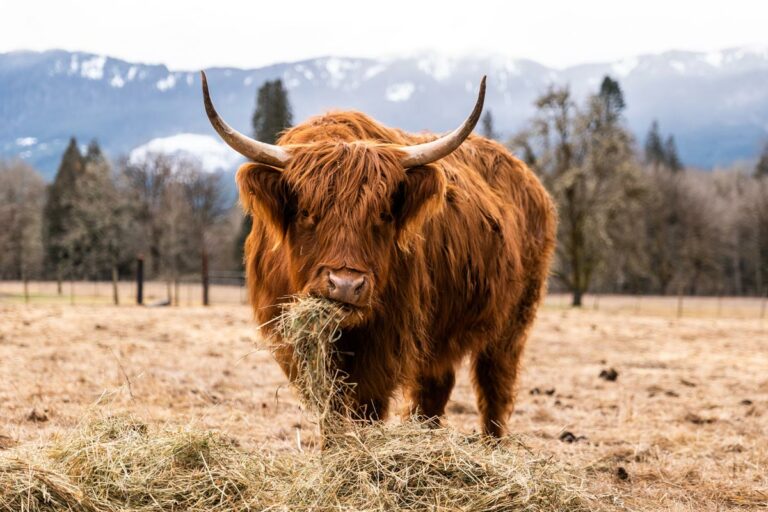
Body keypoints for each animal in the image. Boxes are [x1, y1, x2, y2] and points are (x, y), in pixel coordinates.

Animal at [201, 71, 556, 437]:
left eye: (383, 214)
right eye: (306, 212)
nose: (345, 285)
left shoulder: (386, 343)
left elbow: (365, 408)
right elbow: (331, 410)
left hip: (511, 323)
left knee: (494, 386)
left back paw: (491, 442)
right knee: (436, 386)